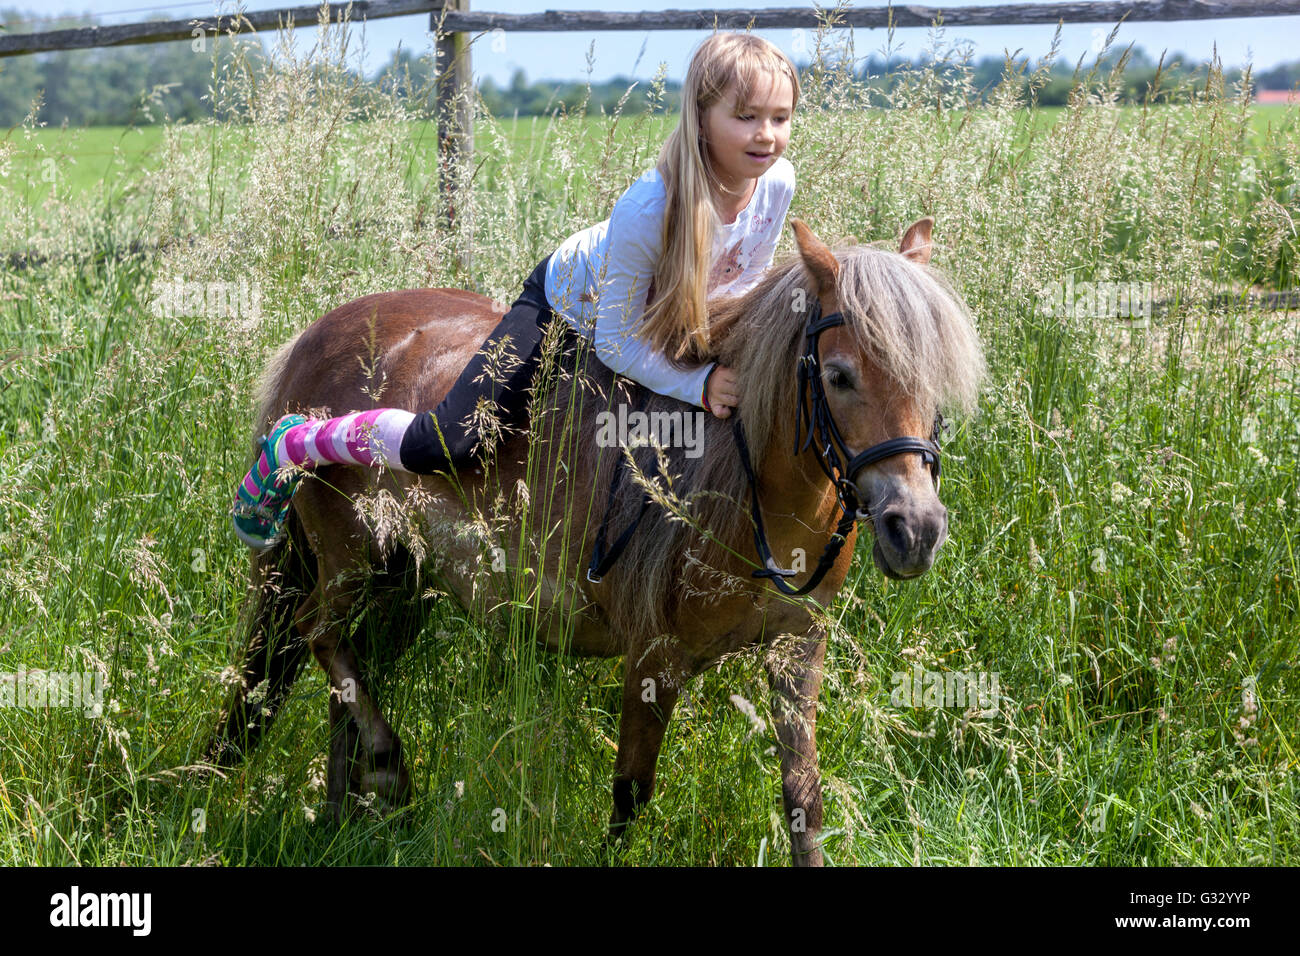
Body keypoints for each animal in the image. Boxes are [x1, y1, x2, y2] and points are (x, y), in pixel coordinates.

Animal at [208, 218, 985, 866]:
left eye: (930, 379)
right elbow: (630, 794)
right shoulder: (653, 656)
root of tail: (314, 341)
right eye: (840, 375)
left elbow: (804, 800)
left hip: (402, 582)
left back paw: (344, 812)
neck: (744, 482)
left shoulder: (798, 650)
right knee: (317, 632)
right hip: (350, 561)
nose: (915, 530)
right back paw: (387, 768)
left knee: (340, 669)